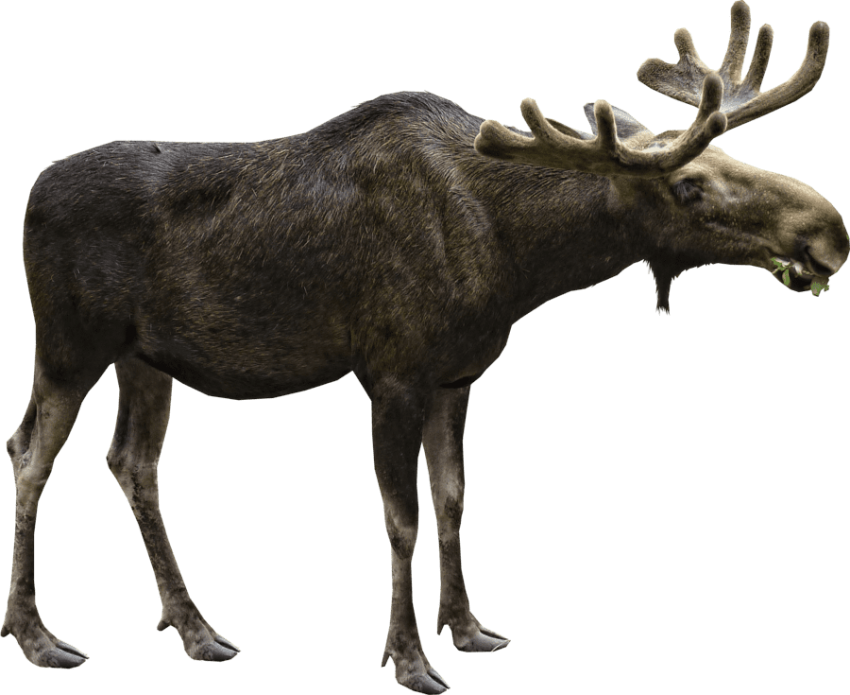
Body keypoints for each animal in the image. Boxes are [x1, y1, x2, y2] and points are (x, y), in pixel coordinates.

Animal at [3, 1, 846, 692]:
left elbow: (453, 498)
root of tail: (31, 195)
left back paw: (196, 628)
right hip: (70, 342)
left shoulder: (457, 377)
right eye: (687, 187)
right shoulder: (392, 373)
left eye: (729, 161)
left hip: (146, 359)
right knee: (29, 451)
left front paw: (468, 628)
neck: (518, 258)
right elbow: (401, 517)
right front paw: (408, 658)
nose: (830, 232)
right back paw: (36, 636)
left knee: (130, 460)